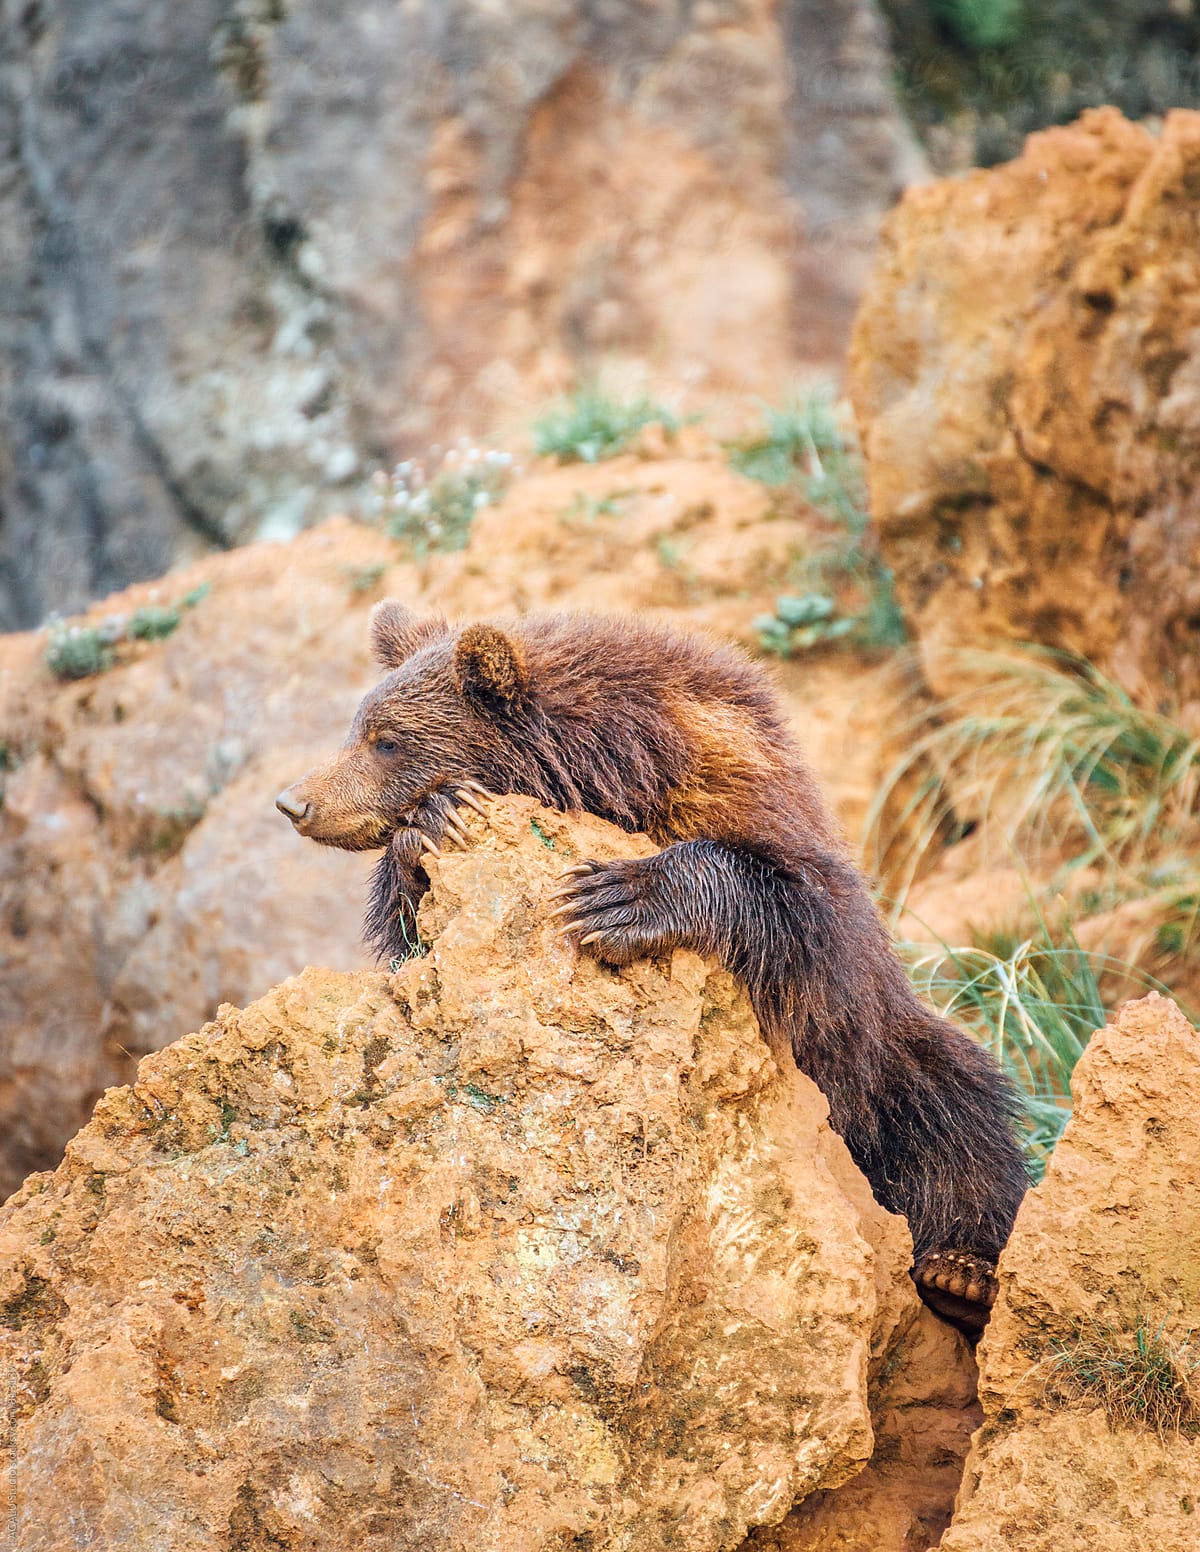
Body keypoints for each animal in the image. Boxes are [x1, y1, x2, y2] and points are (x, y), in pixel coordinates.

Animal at [277, 602, 1029, 1331]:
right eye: (359, 728)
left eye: (387, 740)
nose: (296, 802)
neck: (616, 767)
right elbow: (412, 933)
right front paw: (436, 821)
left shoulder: (754, 812)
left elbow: (799, 907)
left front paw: (616, 897)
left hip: (879, 1067)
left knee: (953, 1117)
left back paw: (959, 1272)